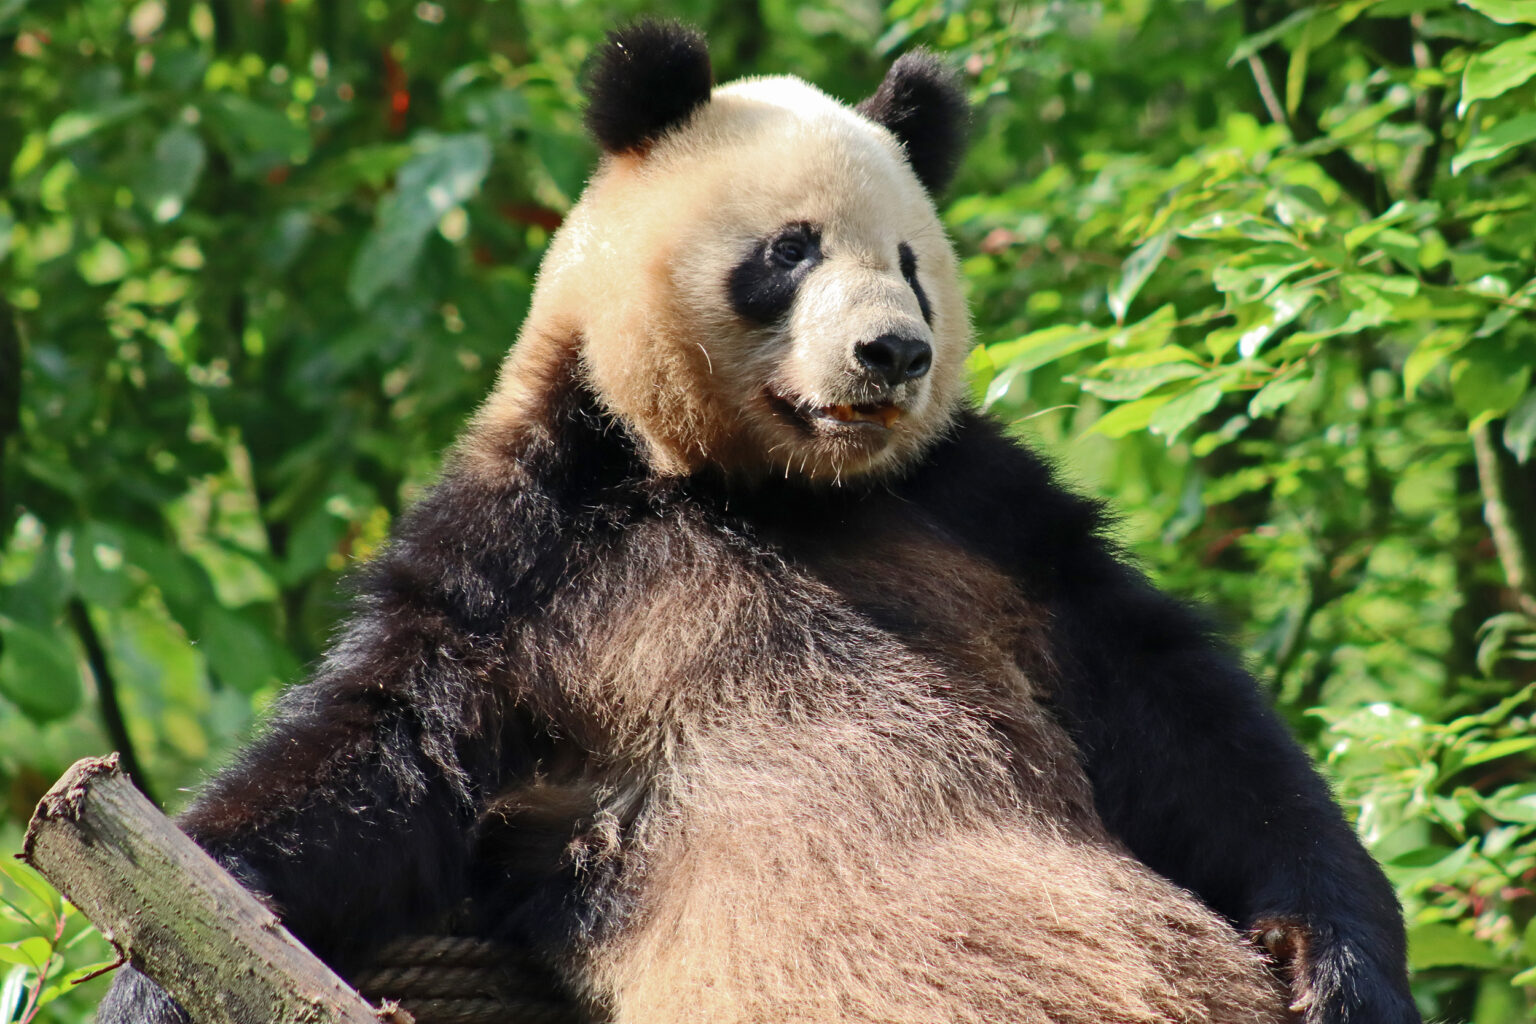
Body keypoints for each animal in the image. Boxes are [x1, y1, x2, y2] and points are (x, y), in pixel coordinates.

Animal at [101, 21, 1419, 1024]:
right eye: (790, 250)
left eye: (912, 260)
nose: (892, 351)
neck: (771, 491)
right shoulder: (533, 545)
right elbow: (384, 746)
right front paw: (169, 953)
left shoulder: (977, 511)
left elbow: (1179, 709)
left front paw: (1337, 965)